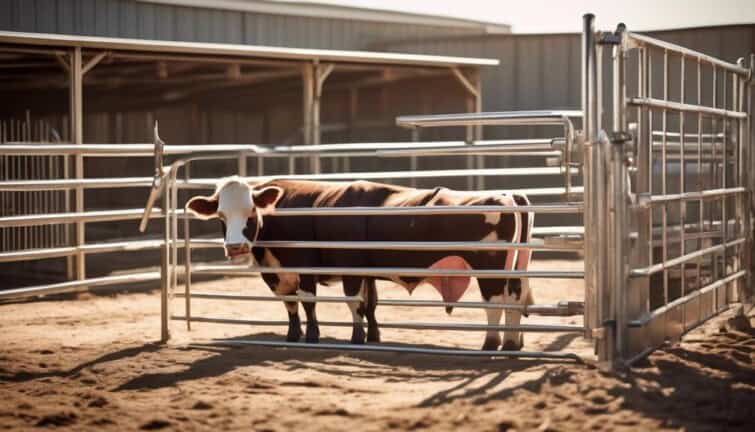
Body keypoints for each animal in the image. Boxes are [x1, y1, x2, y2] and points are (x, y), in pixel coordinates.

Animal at [185, 177, 534, 351]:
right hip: (514, 269)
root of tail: (507, 194)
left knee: (495, 303)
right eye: (220, 215)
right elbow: (364, 304)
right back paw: (512, 343)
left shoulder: (323, 266)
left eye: (251, 212)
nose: (236, 246)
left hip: (489, 269)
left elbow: (327, 302)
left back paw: (491, 343)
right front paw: (296, 334)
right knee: (515, 299)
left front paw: (330, 336)